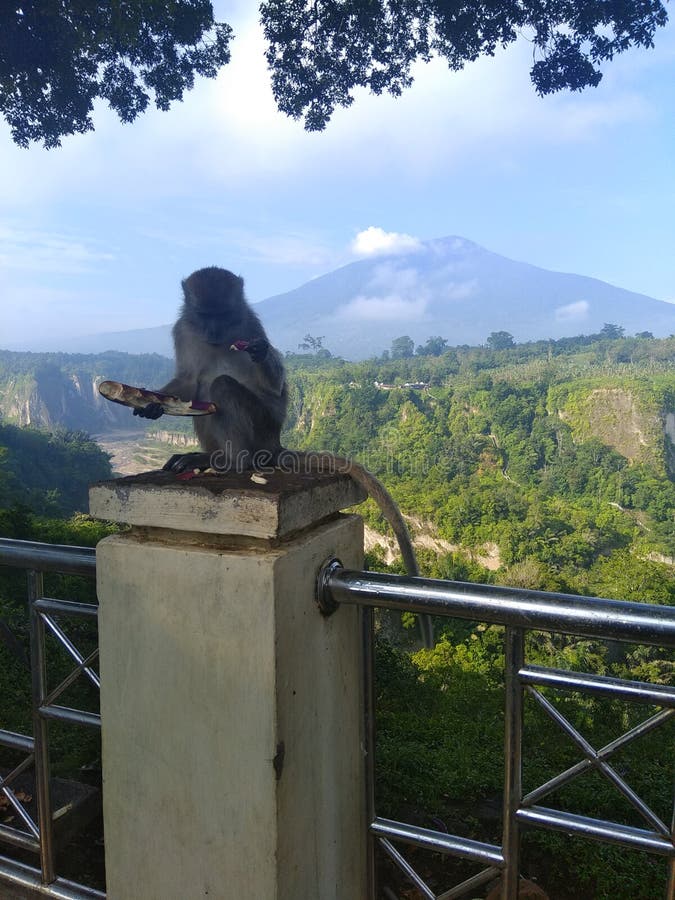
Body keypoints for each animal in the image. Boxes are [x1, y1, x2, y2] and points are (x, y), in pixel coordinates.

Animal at [134, 267, 433, 648]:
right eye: (204, 316)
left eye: (225, 315)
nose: (215, 332)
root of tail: (274, 442)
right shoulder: (184, 329)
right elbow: (188, 381)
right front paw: (152, 403)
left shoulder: (250, 324)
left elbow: (272, 384)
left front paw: (261, 353)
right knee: (204, 394)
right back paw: (207, 459)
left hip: (263, 424)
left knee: (221, 387)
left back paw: (233, 463)